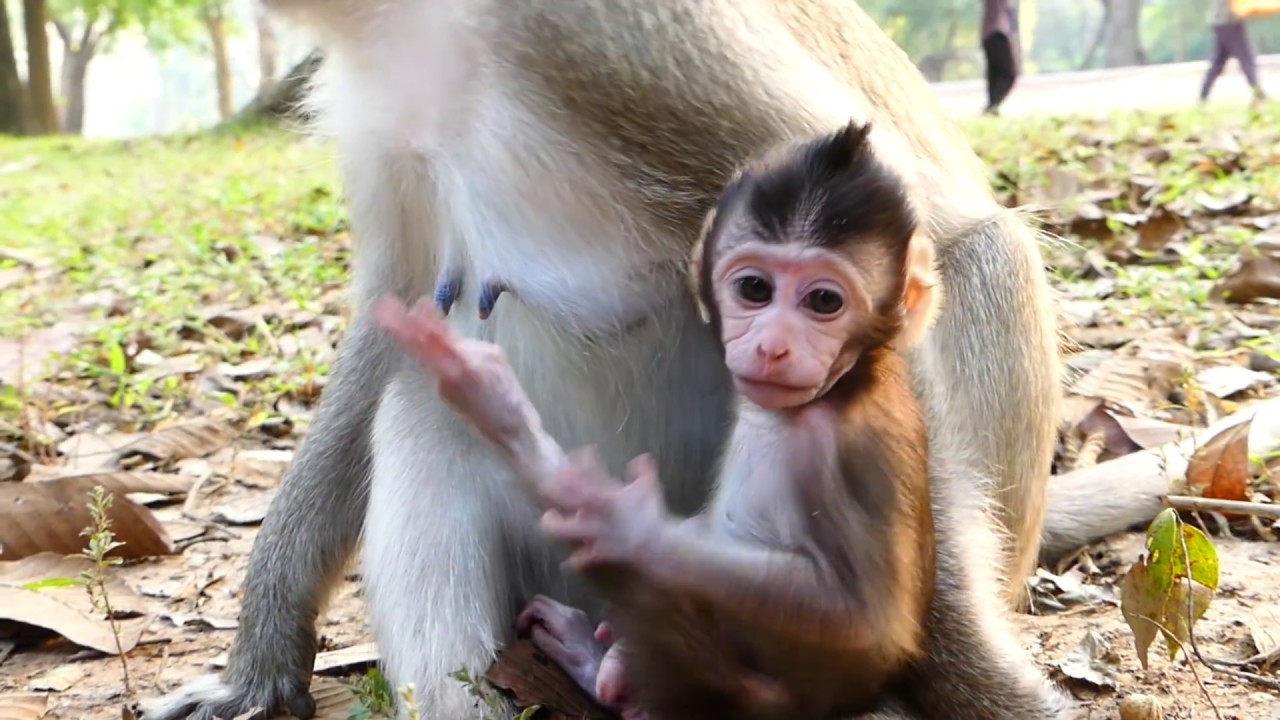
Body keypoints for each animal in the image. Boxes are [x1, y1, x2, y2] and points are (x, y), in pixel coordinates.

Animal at [139, 2, 1163, 719]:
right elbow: (399, 319)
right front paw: (260, 660)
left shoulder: (606, 31)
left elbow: (939, 246)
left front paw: (982, 691)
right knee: (429, 399)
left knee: (991, 254)